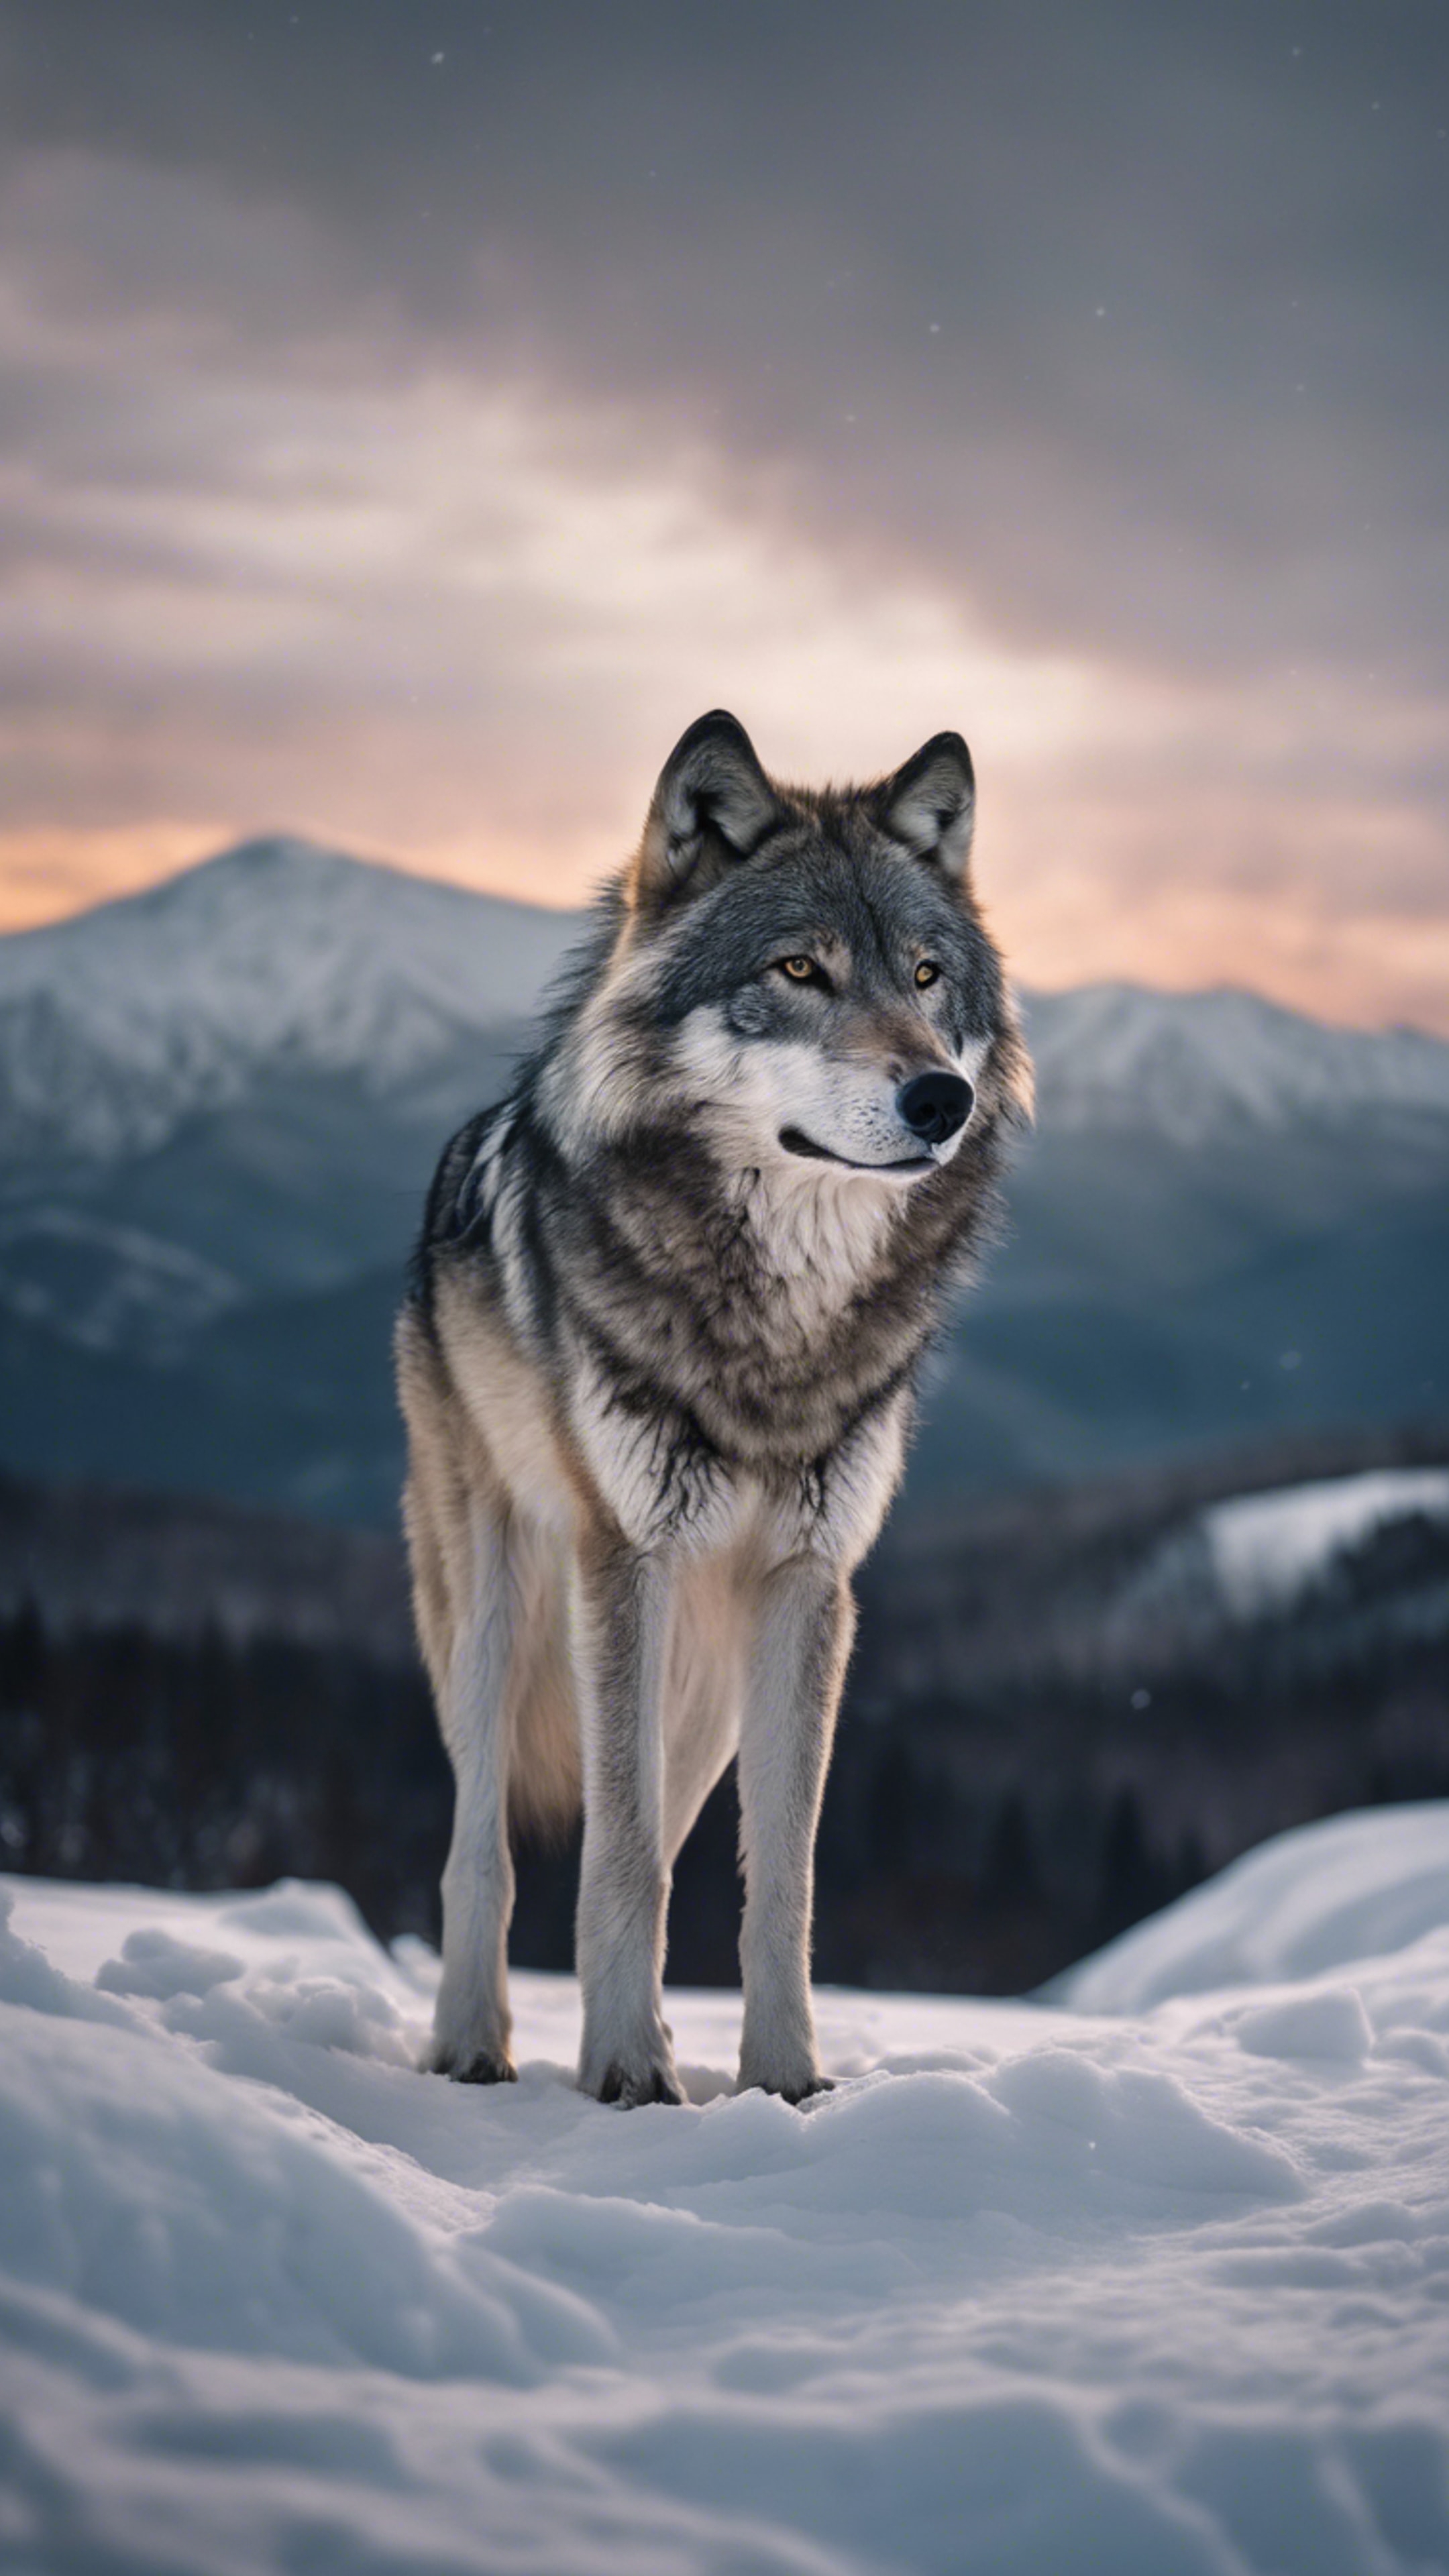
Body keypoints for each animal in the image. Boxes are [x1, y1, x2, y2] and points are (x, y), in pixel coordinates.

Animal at [397, 711, 1031, 2106]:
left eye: (924, 977)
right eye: (799, 969)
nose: (940, 1100)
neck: (776, 1330)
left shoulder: (810, 1583)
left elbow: (778, 1877)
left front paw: (783, 2082)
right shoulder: (623, 1557)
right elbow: (618, 1854)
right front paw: (628, 2072)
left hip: (706, 1684)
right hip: (502, 1603)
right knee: (480, 1841)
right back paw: (472, 2044)